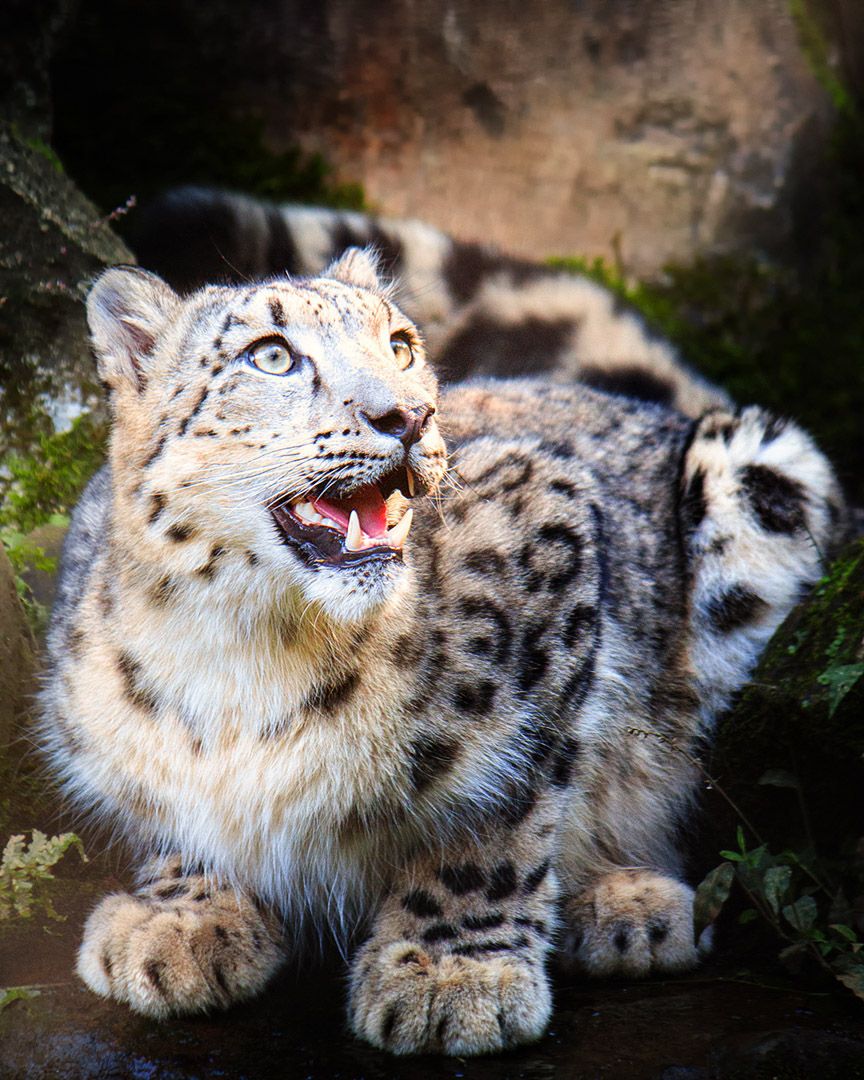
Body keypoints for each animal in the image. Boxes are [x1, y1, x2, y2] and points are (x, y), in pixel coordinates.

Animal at [40, 245, 845, 1056]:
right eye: (270, 356)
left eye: (400, 345)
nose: (406, 416)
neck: (248, 649)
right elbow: (179, 803)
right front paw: (178, 918)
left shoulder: (546, 551)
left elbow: (500, 812)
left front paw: (450, 975)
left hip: (763, 472)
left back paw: (627, 904)